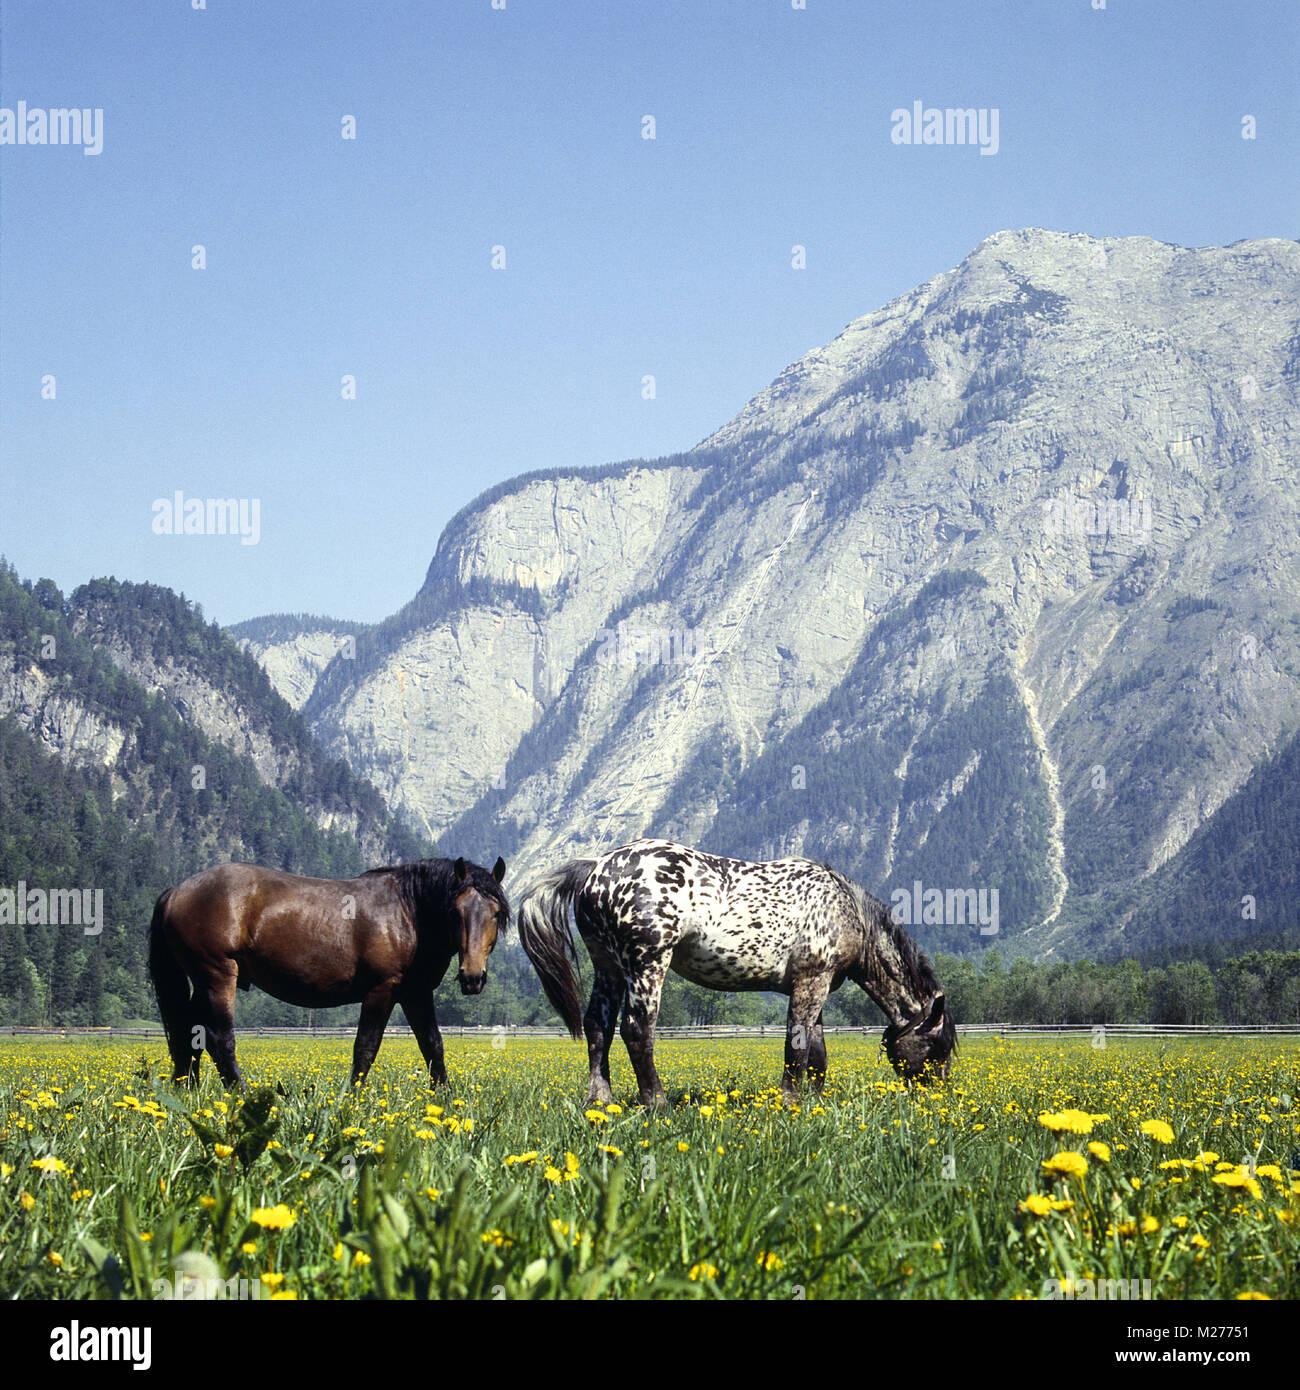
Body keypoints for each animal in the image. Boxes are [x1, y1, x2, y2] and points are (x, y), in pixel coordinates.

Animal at [149, 855, 508, 1090]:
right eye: (455, 912)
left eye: (494, 913)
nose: (472, 977)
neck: (407, 911)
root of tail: (176, 891)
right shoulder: (382, 991)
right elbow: (365, 1048)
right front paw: (353, 1099)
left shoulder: (415, 994)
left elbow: (433, 1047)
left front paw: (445, 1103)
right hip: (217, 976)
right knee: (219, 1039)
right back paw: (242, 1094)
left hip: (203, 981)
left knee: (192, 1036)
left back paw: (189, 1092)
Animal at [517, 838, 954, 1107]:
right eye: (938, 1048)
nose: (940, 1097)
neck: (845, 909)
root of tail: (596, 868)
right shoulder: (811, 982)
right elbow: (797, 1048)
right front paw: (790, 1102)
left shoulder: (813, 985)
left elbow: (816, 1051)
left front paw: (813, 1100)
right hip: (646, 964)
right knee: (637, 1031)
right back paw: (657, 1103)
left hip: (606, 967)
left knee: (598, 1027)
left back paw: (601, 1101)